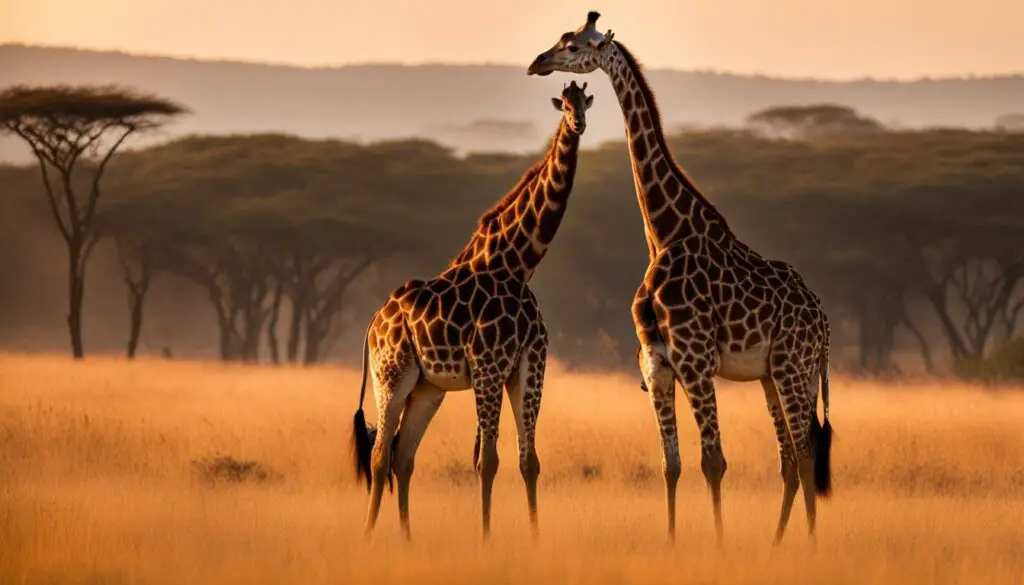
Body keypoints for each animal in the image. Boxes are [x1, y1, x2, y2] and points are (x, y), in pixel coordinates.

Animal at [351, 81, 594, 541]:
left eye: (586, 103)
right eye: (564, 104)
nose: (578, 124)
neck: (517, 265)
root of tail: (373, 322)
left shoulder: (527, 368)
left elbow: (528, 460)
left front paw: (535, 539)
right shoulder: (488, 368)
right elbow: (488, 461)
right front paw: (485, 539)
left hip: (427, 389)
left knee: (402, 457)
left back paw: (407, 540)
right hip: (390, 376)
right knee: (378, 456)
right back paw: (369, 536)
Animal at [527, 12, 834, 546]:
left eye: (576, 44)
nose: (537, 62)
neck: (665, 233)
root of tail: (824, 322)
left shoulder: (695, 360)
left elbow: (714, 462)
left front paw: (719, 544)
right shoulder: (656, 363)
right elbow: (670, 464)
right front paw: (671, 543)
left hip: (793, 367)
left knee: (804, 452)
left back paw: (811, 546)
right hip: (774, 375)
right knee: (790, 460)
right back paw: (777, 544)